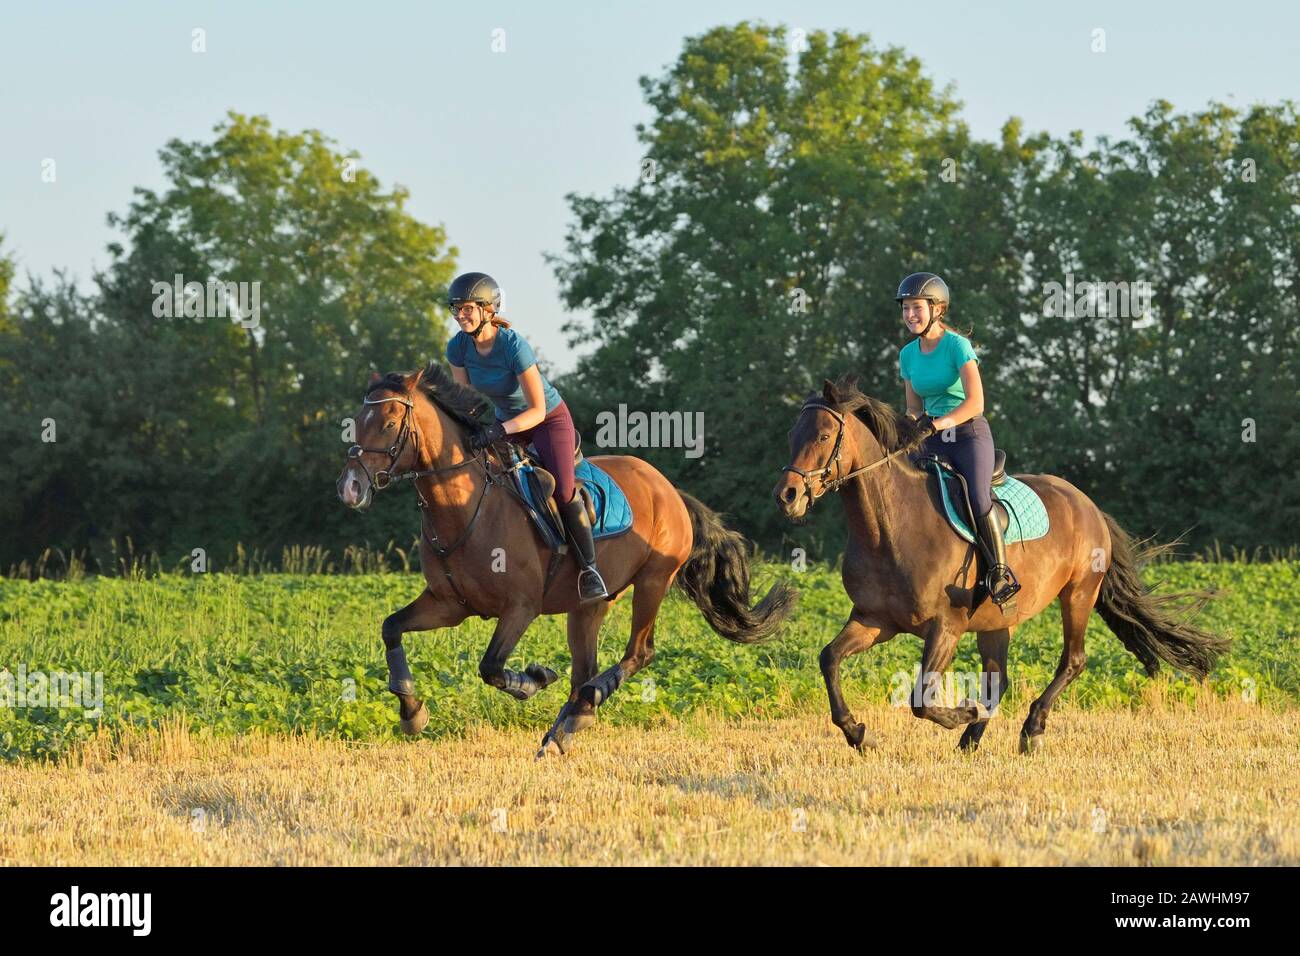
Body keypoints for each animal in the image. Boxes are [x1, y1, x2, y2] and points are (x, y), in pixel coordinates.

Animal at [337, 362, 797, 756]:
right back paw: (566, 728)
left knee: (638, 653)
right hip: (589, 606)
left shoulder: (520, 607)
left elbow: (491, 667)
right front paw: (412, 713)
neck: (465, 506)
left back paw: (582, 708)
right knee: (585, 668)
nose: (350, 488)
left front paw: (534, 679)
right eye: (357, 422)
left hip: (653, 581)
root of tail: (669, 490)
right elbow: (391, 628)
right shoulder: (449, 605)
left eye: (390, 423)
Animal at [773, 376, 1229, 754]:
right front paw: (857, 733)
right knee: (999, 678)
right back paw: (971, 741)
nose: (787, 496)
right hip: (997, 619)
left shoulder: (945, 626)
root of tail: (1088, 504)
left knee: (1073, 660)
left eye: (824, 434)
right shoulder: (875, 620)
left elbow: (921, 699)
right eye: (792, 434)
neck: (889, 526)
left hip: (1078, 593)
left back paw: (1030, 730)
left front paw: (963, 711)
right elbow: (829, 658)